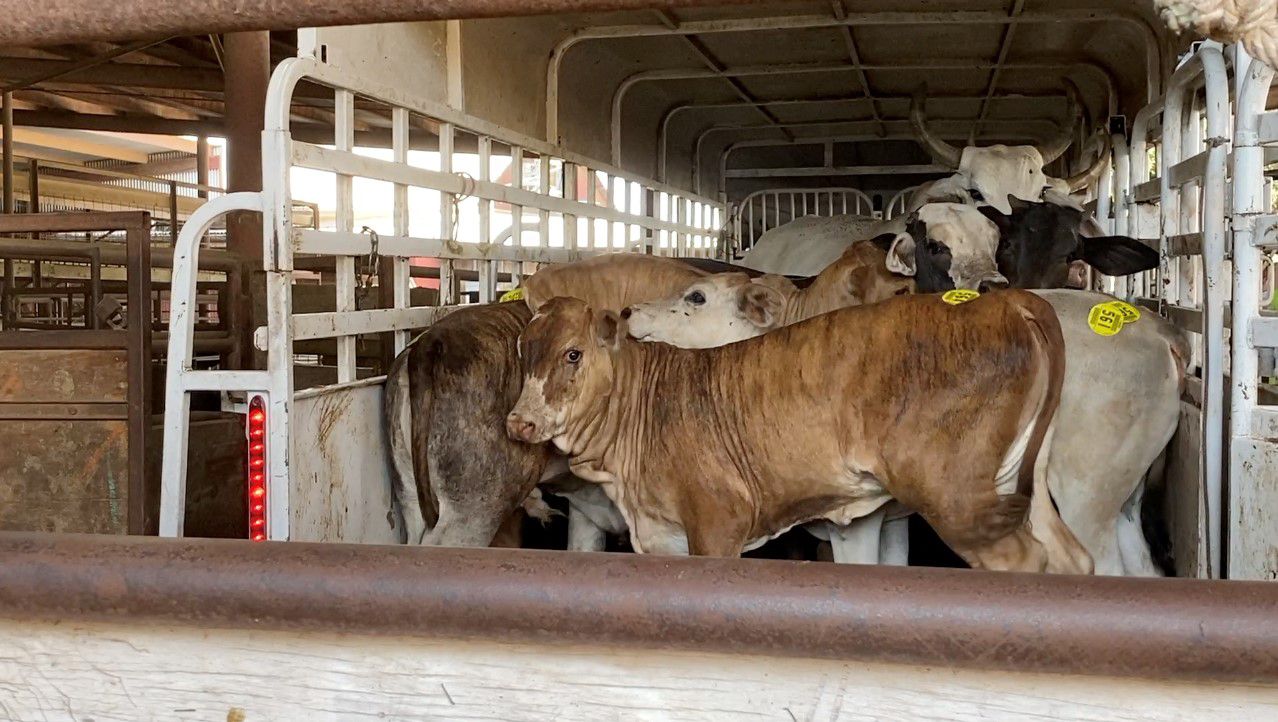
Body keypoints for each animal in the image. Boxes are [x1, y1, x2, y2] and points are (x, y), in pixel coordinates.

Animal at [506, 292, 1092, 573]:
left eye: (573, 353)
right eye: (523, 349)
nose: (518, 421)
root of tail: (1005, 299)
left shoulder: (718, 522)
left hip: (960, 499)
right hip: (1020, 478)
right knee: (1070, 556)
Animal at [624, 270, 1188, 576]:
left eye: (696, 297)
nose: (630, 311)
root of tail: (1159, 330)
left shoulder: (852, 519)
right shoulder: (892, 518)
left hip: (1085, 493)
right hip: (1121, 497)